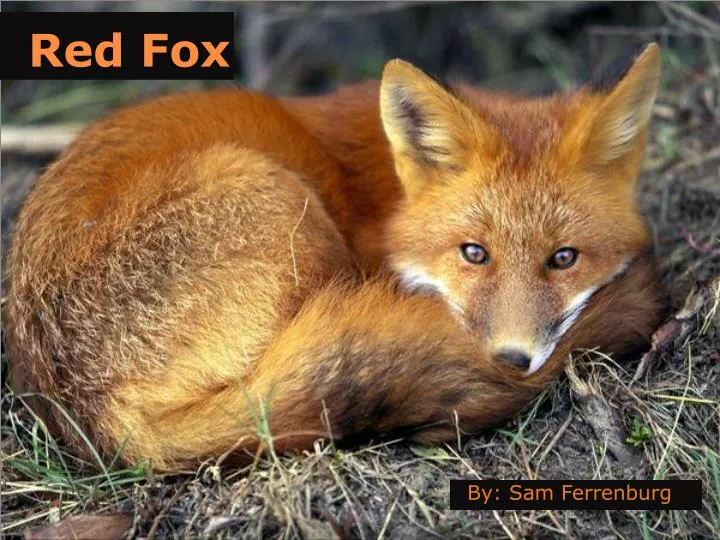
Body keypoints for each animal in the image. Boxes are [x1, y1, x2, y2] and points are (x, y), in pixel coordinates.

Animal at [5, 44, 666, 472]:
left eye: (564, 258)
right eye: (474, 253)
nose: (512, 360)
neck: (391, 195)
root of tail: (96, 419)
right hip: (283, 201)